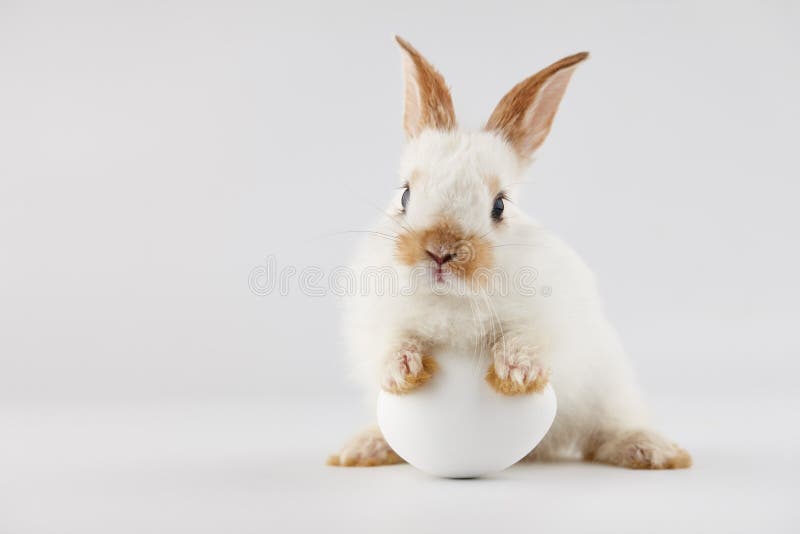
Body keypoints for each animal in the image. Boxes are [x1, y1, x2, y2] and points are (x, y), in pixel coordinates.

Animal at [327, 36, 691, 470]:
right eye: (405, 195)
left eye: (499, 205)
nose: (440, 252)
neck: (452, 301)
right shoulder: (376, 322)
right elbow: (391, 343)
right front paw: (402, 371)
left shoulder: (552, 319)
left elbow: (529, 339)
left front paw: (517, 373)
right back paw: (362, 448)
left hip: (610, 388)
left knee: (607, 431)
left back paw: (652, 450)